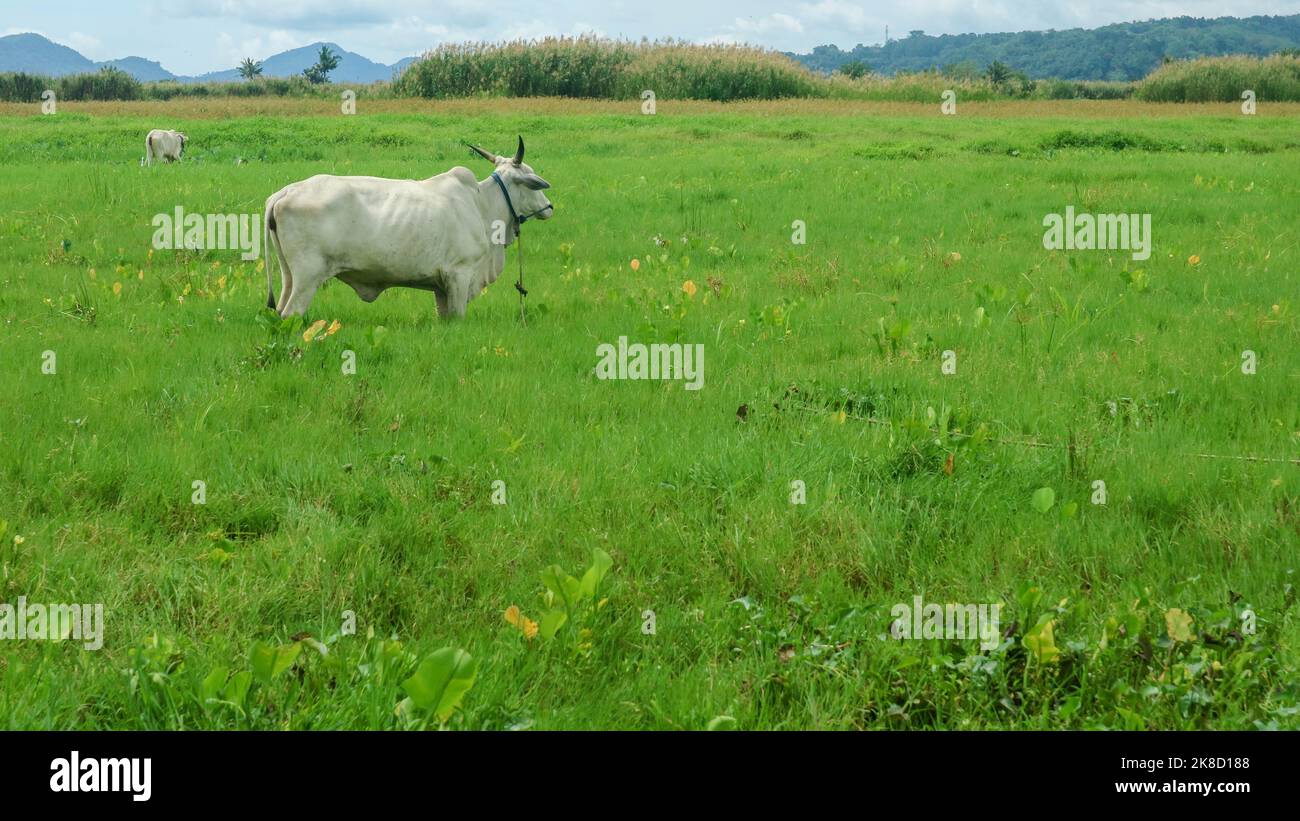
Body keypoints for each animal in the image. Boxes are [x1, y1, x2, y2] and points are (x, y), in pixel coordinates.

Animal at [263, 136, 554, 319]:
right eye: (531, 180)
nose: (549, 207)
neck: (481, 205)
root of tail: (285, 192)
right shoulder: (459, 275)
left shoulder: (441, 286)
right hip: (308, 277)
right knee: (292, 313)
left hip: (289, 275)